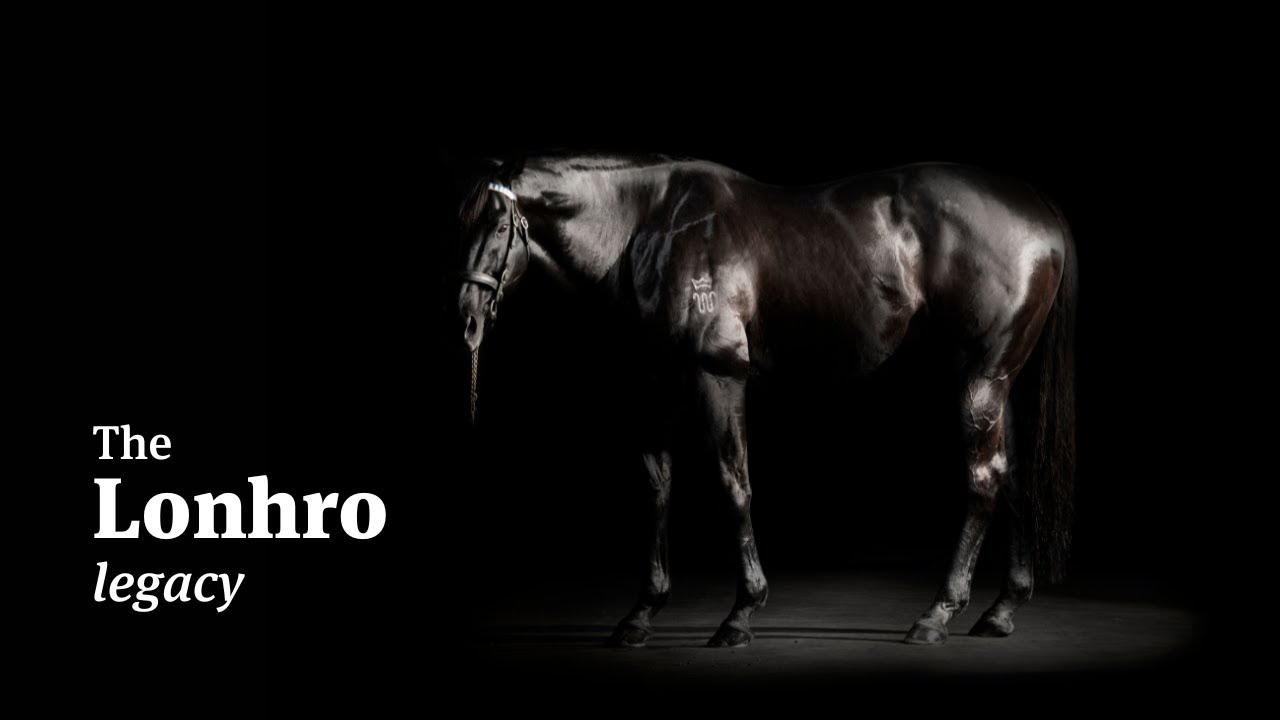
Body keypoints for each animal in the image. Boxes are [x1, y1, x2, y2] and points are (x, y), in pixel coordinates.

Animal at [454, 153, 1075, 648]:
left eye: (499, 223)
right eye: (466, 222)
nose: (468, 316)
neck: (652, 225)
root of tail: (1039, 206)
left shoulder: (720, 375)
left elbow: (734, 484)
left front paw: (740, 613)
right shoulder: (657, 384)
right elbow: (657, 489)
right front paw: (640, 614)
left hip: (981, 379)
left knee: (983, 479)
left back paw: (938, 613)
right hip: (996, 380)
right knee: (1010, 477)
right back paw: (999, 611)